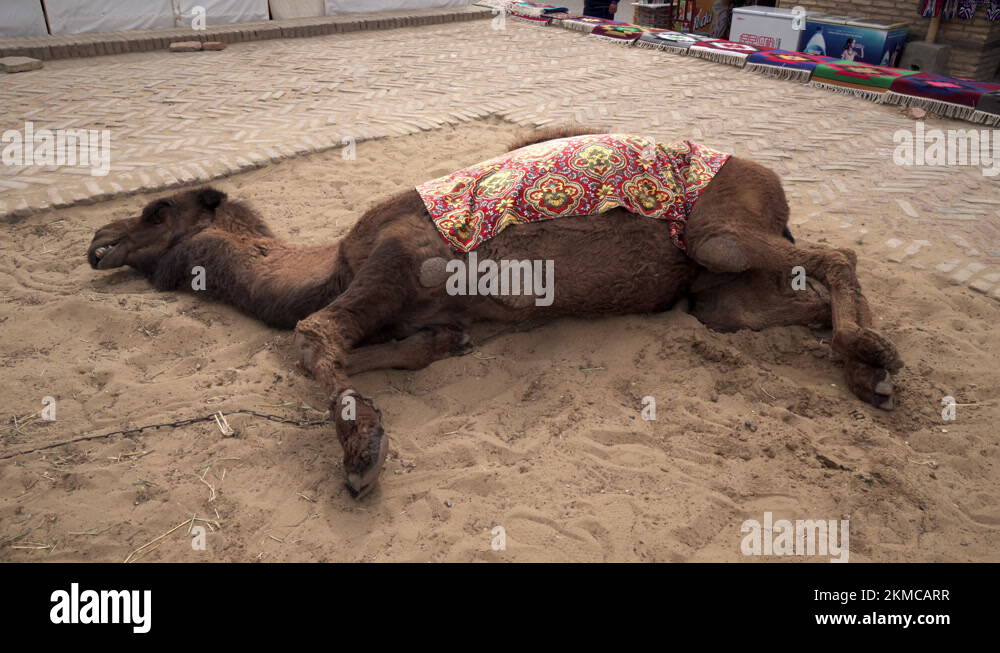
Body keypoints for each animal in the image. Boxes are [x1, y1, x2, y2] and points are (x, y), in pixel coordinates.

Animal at [86, 127, 901, 498]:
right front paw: (370, 414)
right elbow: (411, 343)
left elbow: (311, 334)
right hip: (714, 294)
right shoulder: (430, 319)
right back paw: (865, 367)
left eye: (157, 211)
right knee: (781, 302)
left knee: (835, 256)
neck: (332, 261)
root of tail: (773, 185)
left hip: (719, 229)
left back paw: (879, 364)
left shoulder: (405, 257)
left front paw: (361, 450)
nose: (97, 241)